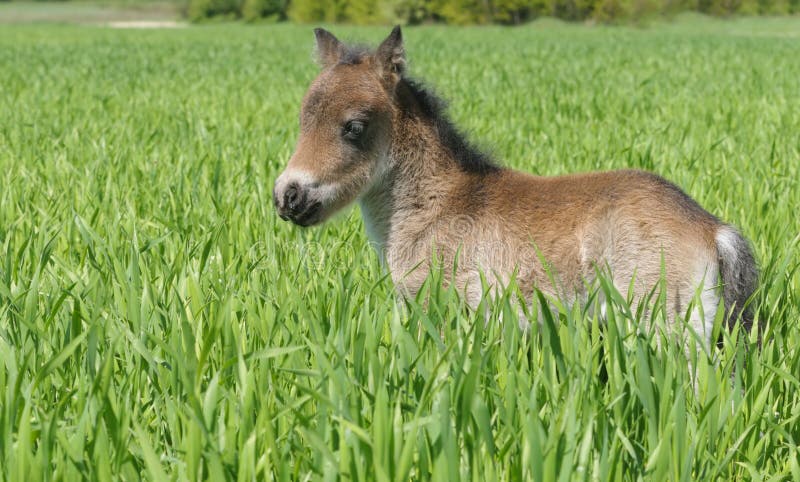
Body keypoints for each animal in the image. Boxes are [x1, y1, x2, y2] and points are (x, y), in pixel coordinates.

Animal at [273, 26, 758, 345]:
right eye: (302, 119)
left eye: (354, 127)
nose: (288, 196)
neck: (437, 206)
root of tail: (711, 227)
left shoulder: (440, 313)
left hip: (669, 331)